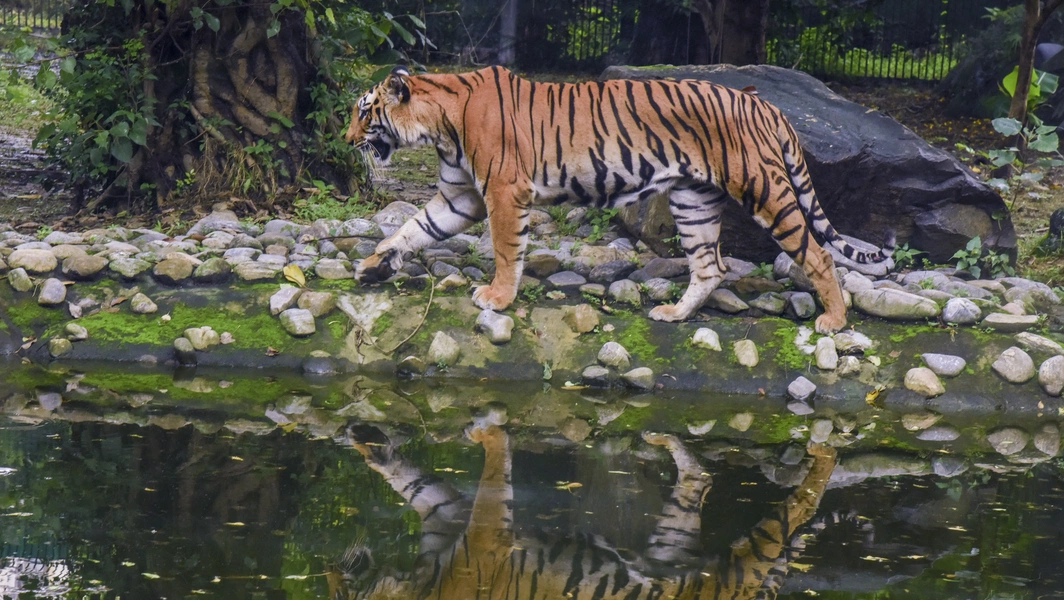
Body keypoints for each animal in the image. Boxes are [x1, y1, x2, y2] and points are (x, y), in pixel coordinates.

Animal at [328, 414, 842, 600]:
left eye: (340, 596)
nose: (332, 571)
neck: (413, 583)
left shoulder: (482, 540)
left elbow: (492, 475)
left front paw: (488, 430)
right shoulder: (445, 515)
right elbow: (410, 482)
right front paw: (364, 440)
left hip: (743, 564)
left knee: (800, 507)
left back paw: (824, 450)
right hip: (671, 546)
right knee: (699, 477)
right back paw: (663, 438)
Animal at [345, 65, 893, 334]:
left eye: (364, 112)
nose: (348, 140)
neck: (438, 126)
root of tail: (765, 103)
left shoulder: (502, 191)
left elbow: (505, 249)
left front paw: (497, 298)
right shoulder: (461, 197)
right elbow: (413, 229)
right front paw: (374, 265)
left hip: (765, 190)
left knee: (818, 254)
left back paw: (834, 320)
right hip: (694, 200)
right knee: (710, 266)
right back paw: (674, 315)